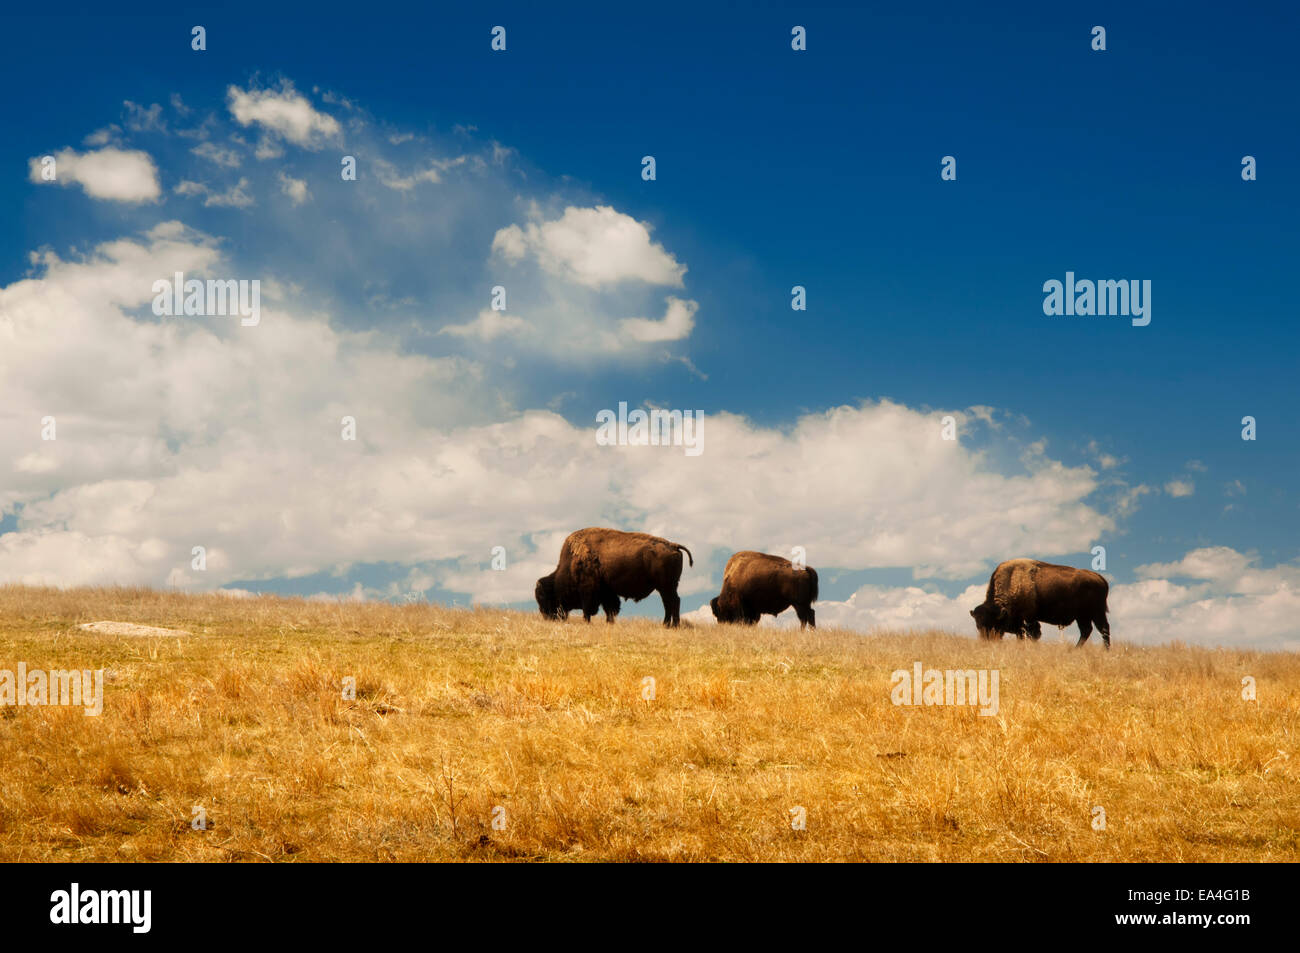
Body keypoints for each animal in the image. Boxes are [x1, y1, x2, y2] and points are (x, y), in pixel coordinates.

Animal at [535, 527, 694, 627]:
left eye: (543, 597)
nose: (547, 617)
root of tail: (674, 545)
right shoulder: (607, 592)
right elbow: (610, 609)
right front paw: (609, 623)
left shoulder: (589, 592)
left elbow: (588, 610)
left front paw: (587, 622)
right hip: (668, 587)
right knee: (671, 602)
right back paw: (669, 625)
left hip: (665, 587)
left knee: (672, 602)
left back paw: (671, 625)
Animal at [970, 558, 1111, 648]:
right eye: (977, 625)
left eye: (992, 625)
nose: (986, 642)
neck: (1012, 580)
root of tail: (1100, 578)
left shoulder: (1029, 620)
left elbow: (1033, 635)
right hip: (1082, 616)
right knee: (1087, 630)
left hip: (1096, 612)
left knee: (1103, 629)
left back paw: (1105, 650)